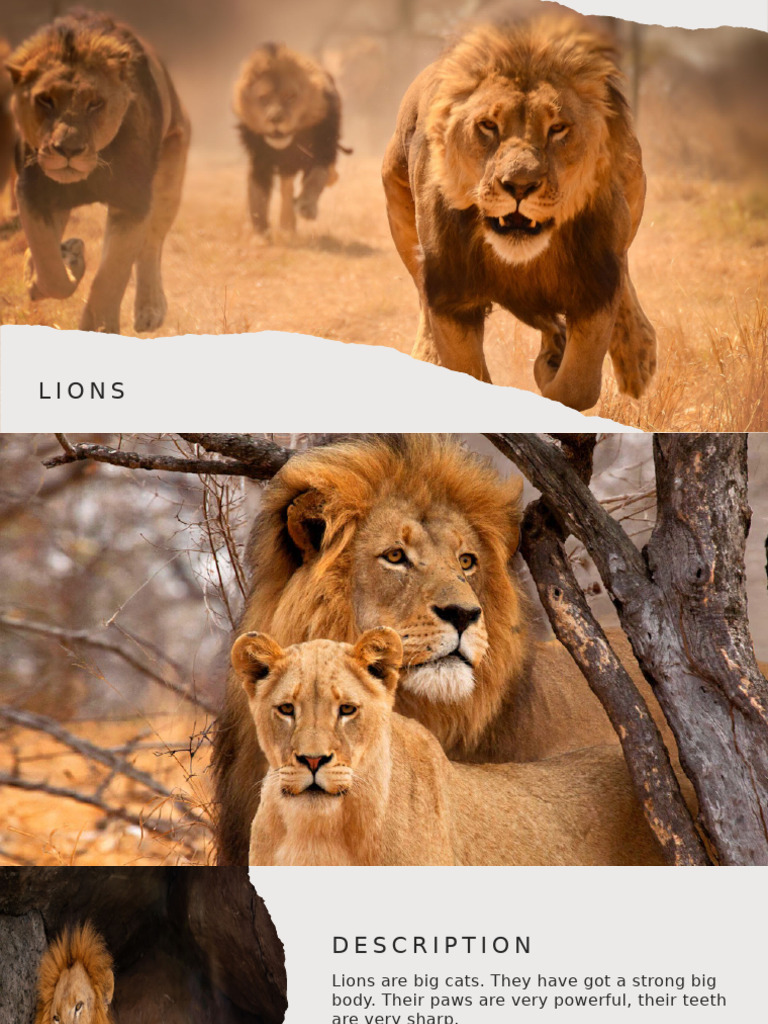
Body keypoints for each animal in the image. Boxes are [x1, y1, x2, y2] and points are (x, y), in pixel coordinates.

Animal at [6, 10, 190, 334]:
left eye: (95, 103)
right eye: (45, 100)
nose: (68, 150)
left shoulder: (132, 203)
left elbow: (111, 277)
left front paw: (99, 328)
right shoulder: (32, 193)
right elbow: (48, 265)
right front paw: (70, 260)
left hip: (170, 171)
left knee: (151, 244)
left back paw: (150, 309)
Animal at [234, 43, 346, 237]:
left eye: (290, 97)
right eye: (263, 98)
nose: (275, 119)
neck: (288, 145)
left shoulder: (322, 151)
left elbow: (316, 178)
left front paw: (307, 207)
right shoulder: (259, 161)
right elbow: (258, 197)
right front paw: (260, 233)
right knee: (286, 188)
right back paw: (287, 224)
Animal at [381, 19, 657, 410]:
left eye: (557, 129)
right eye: (488, 126)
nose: (519, 185)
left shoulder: (596, 285)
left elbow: (576, 388)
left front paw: (553, 366)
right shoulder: (451, 297)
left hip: (631, 198)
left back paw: (633, 355)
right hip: (399, 211)